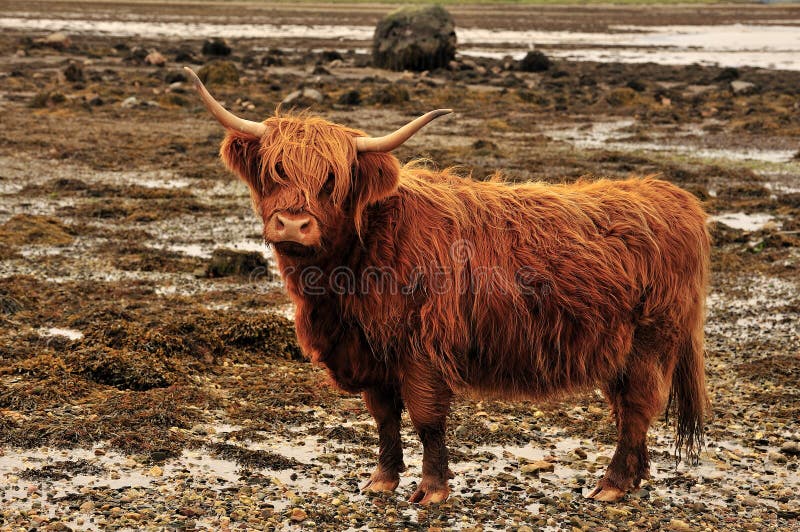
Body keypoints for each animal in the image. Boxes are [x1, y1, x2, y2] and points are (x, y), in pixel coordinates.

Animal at [184, 67, 710, 504]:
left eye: (332, 180)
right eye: (274, 171)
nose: (293, 225)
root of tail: (673, 196)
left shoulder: (422, 347)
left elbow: (426, 418)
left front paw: (432, 489)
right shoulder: (372, 350)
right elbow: (384, 417)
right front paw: (382, 480)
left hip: (650, 344)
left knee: (638, 408)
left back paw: (612, 484)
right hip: (621, 351)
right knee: (628, 411)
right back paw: (632, 478)